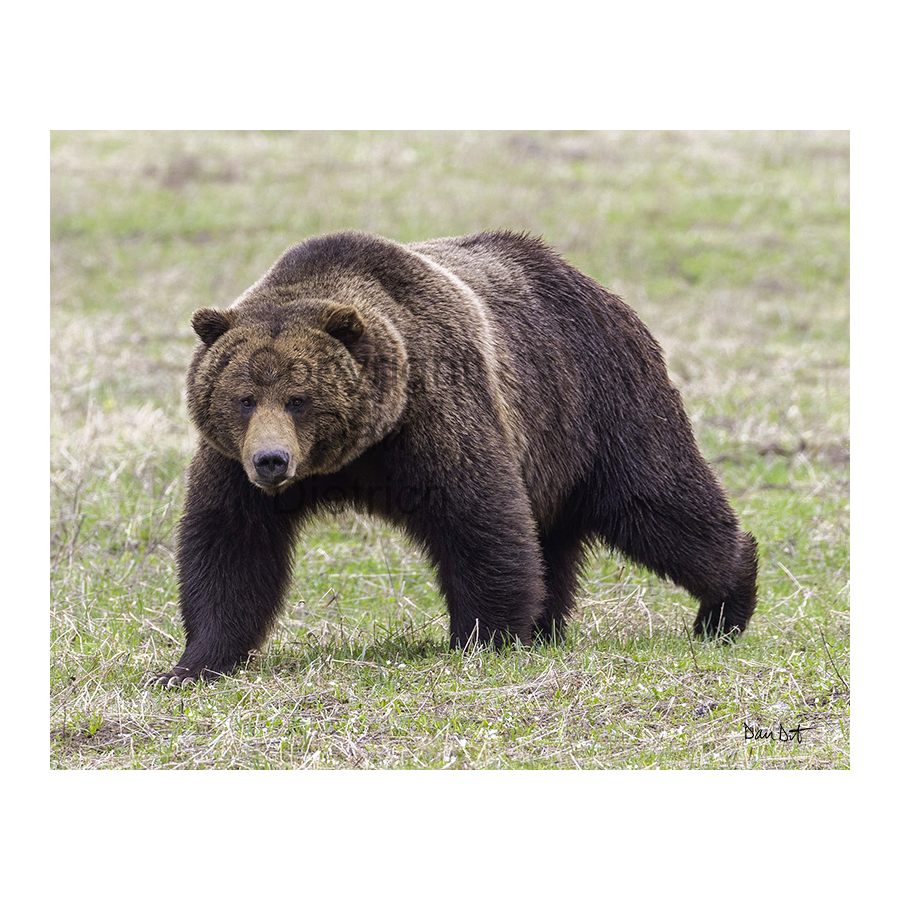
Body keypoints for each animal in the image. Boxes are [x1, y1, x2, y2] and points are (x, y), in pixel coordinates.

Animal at [151, 230, 758, 685]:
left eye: (299, 399)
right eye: (244, 398)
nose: (272, 461)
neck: (357, 453)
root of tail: (599, 288)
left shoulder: (436, 412)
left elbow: (478, 519)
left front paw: (486, 637)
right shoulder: (232, 463)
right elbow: (231, 547)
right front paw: (188, 665)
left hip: (601, 403)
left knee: (659, 504)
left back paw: (727, 601)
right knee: (556, 541)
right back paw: (548, 627)